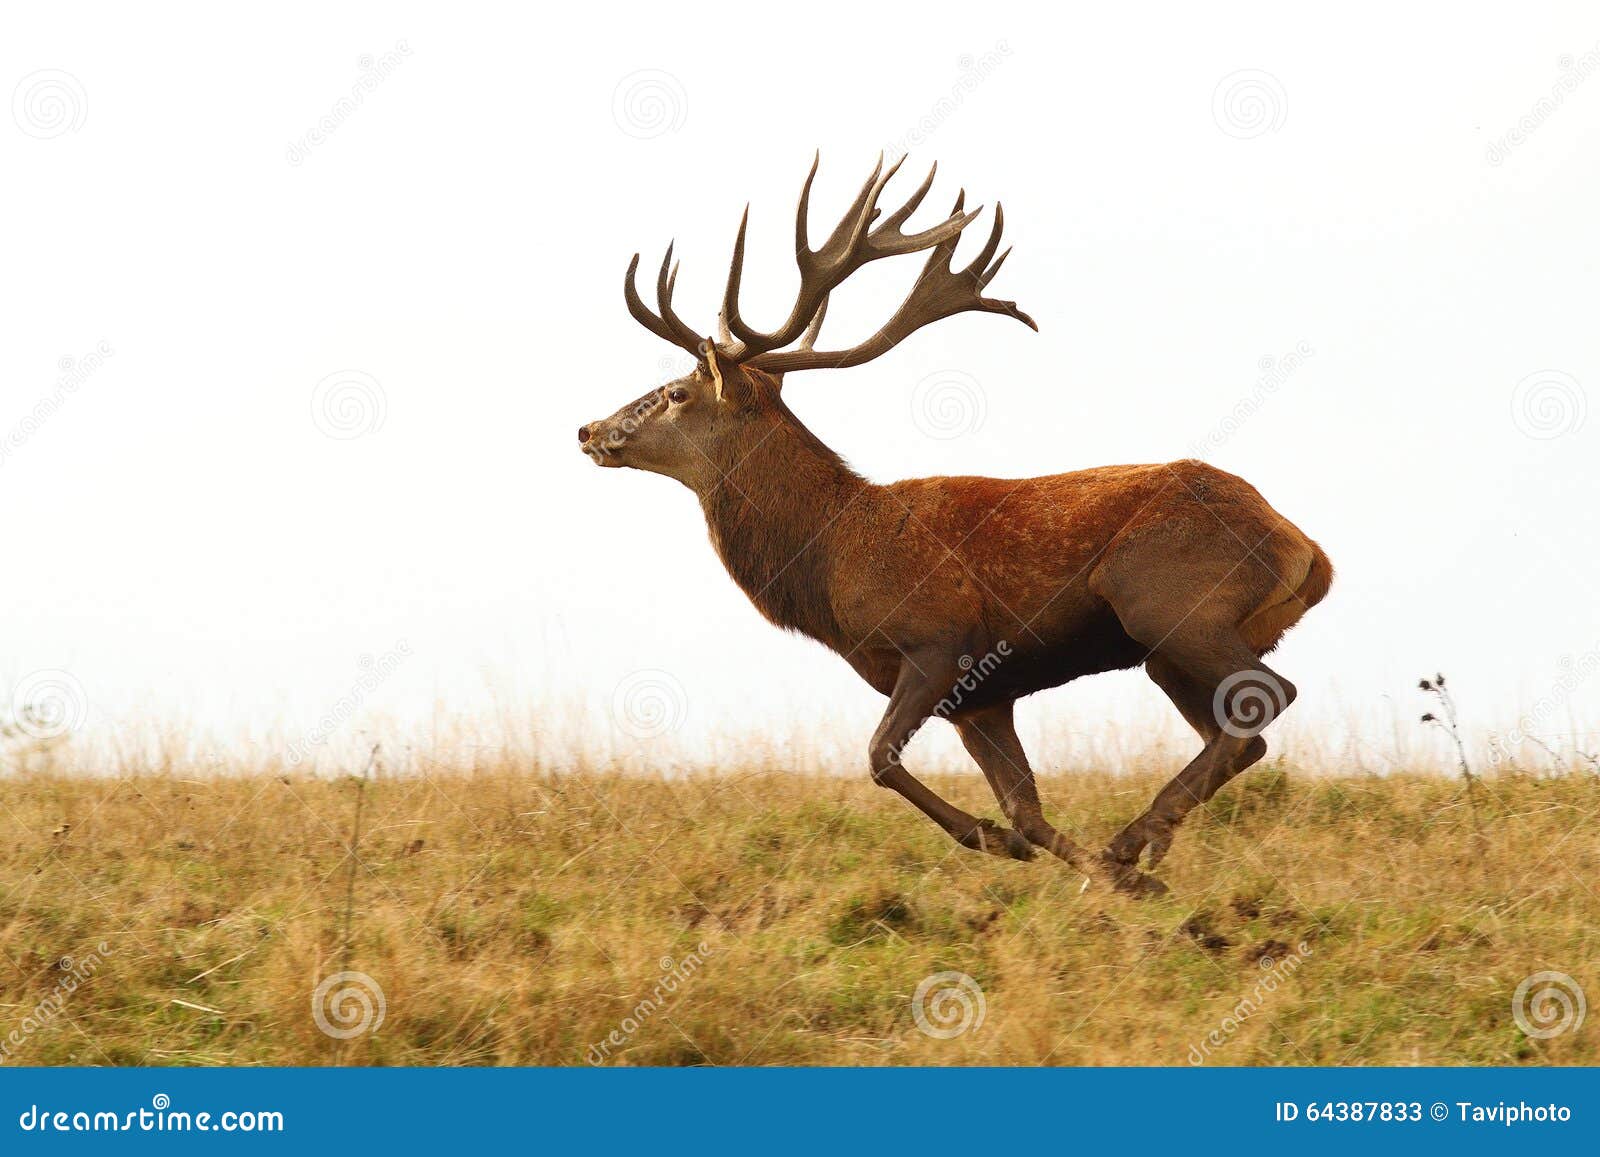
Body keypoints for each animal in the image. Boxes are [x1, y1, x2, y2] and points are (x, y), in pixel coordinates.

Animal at [578, 155, 1333, 895]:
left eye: (677, 391)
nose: (588, 429)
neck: (832, 563)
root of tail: (1308, 552)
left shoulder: (938, 642)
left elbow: (880, 756)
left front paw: (1013, 844)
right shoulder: (983, 700)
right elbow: (1026, 806)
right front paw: (1099, 873)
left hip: (1169, 603)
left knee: (1268, 698)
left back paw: (1134, 835)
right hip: (1165, 651)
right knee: (1239, 729)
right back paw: (1140, 848)